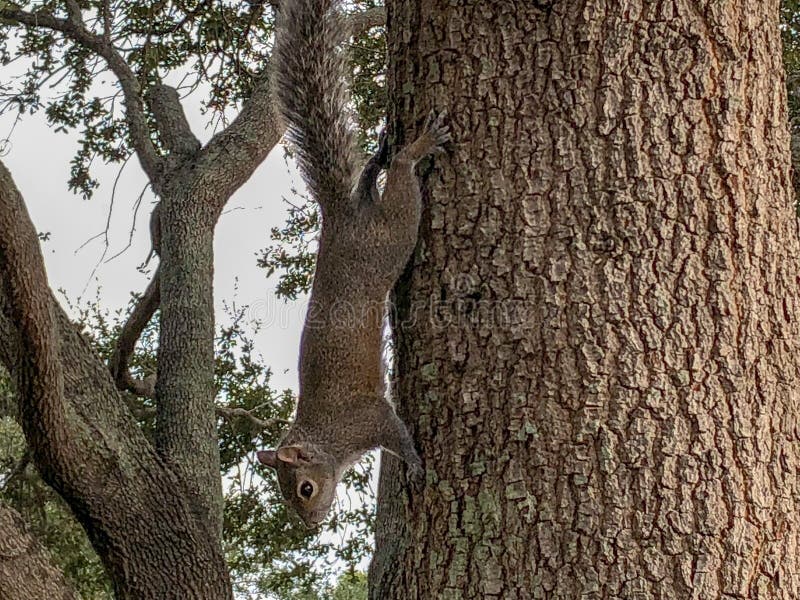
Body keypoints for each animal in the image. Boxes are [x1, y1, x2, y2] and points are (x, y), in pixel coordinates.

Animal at [257, 0, 450, 527]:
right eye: (285, 495)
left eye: (304, 488)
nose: (310, 526)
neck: (326, 439)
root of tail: (340, 216)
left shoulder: (368, 419)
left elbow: (396, 435)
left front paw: (417, 465)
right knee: (368, 181)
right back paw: (375, 161)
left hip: (387, 243)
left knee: (401, 183)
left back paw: (412, 150)